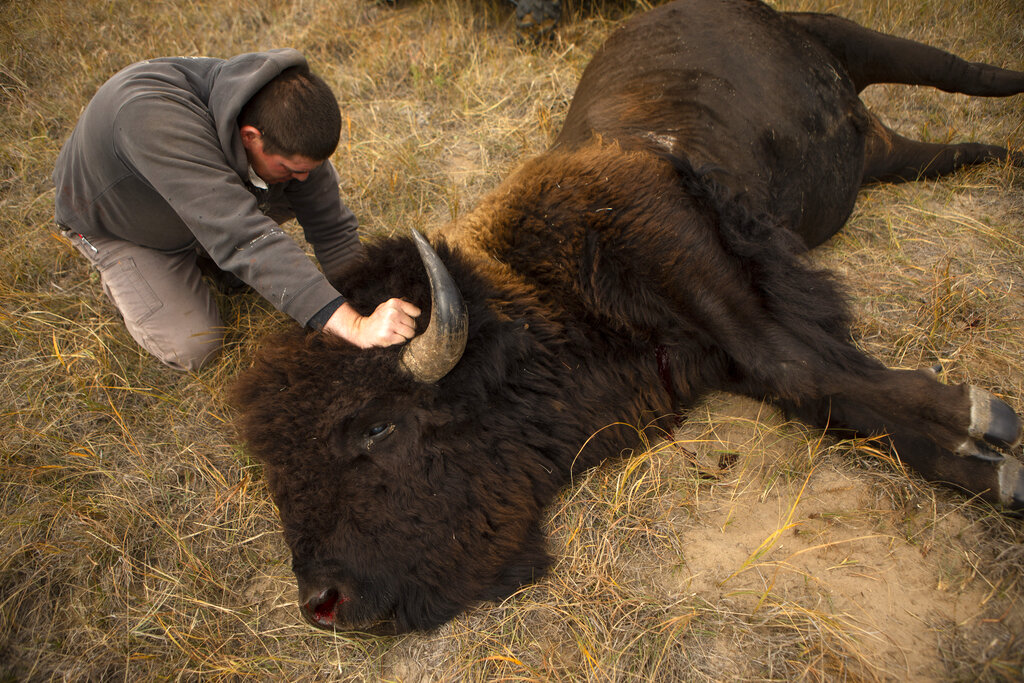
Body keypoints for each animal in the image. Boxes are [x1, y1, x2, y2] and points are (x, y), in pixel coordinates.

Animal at [232, 0, 1024, 634]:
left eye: (377, 427)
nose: (322, 601)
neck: (538, 296)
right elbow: (823, 389)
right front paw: (984, 454)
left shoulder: (691, 259)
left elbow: (800, 363)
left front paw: (986, 426)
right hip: (881, 156)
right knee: (950, 147)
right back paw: (1000, 154)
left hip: (858, 41)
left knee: (967, 71)